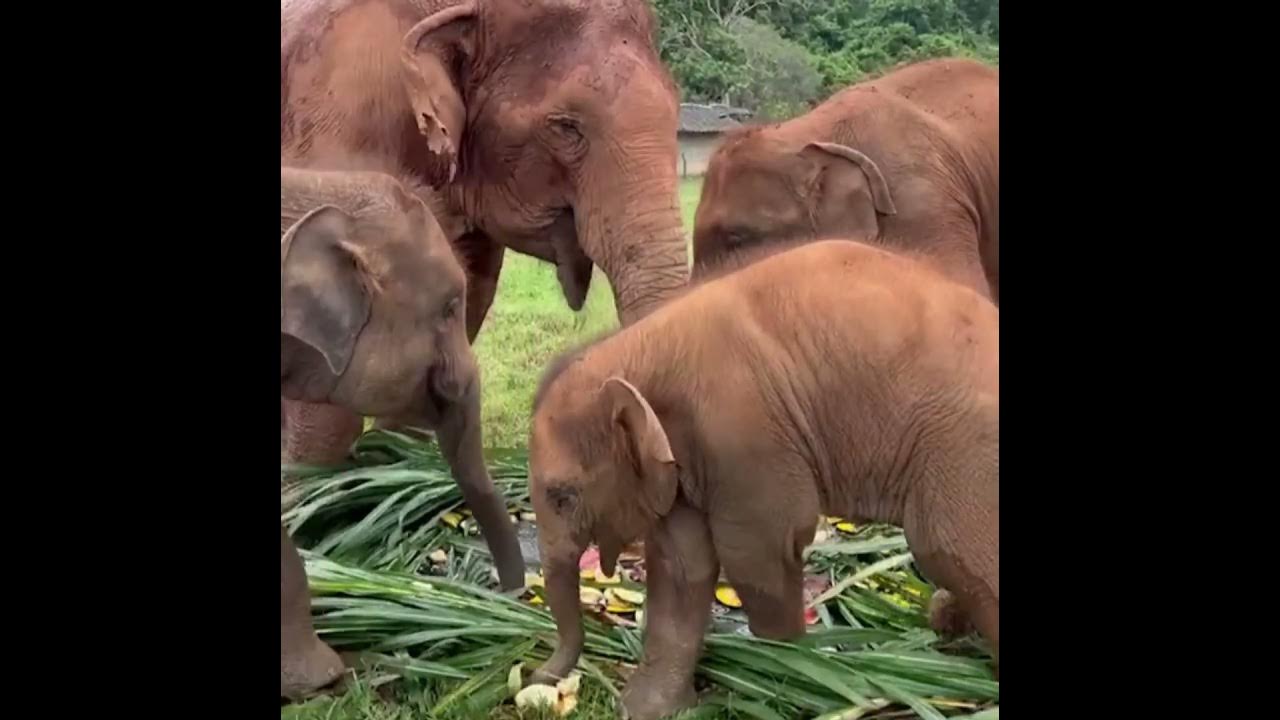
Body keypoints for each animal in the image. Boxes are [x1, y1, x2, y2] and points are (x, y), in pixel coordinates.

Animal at [526, 240, 999, 719]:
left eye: (563, 496)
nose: (534, 675)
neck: (636, 345)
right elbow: (681, 566)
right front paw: (648, 710)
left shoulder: (746, 438)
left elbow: (757, 552)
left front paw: (789, 672)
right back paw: (949, 630)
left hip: (964, 449)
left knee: (949, 550)